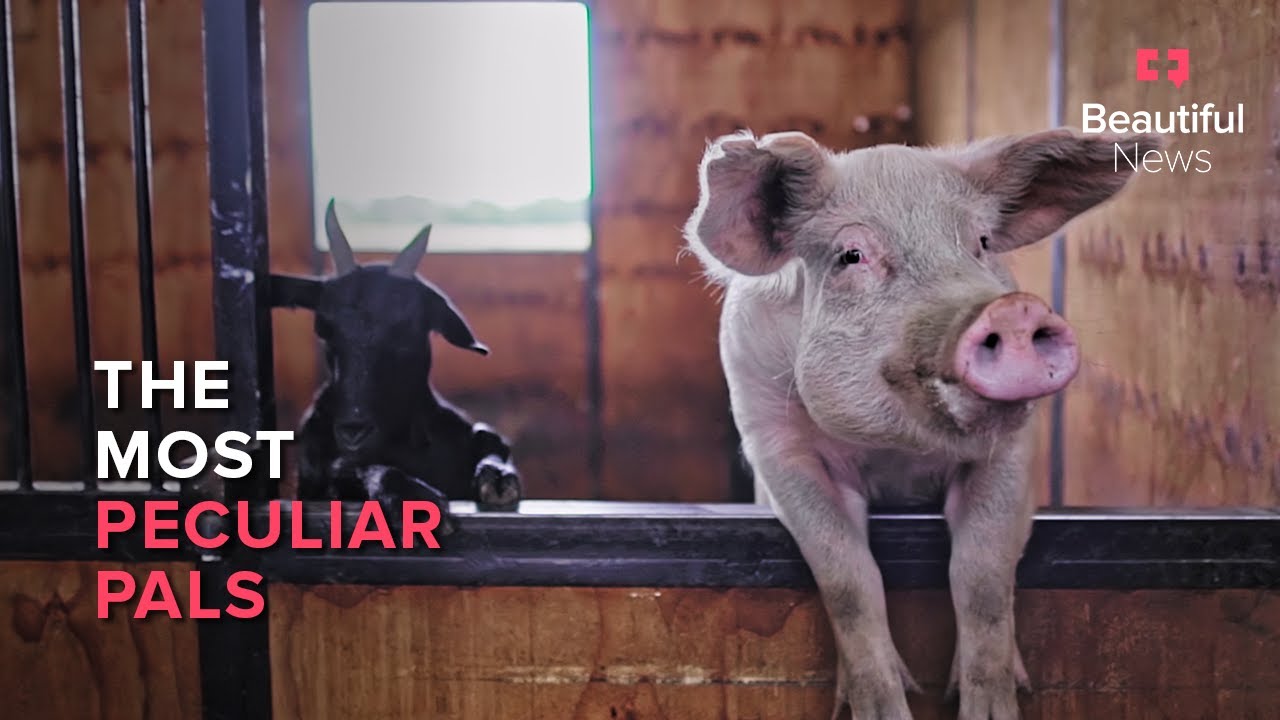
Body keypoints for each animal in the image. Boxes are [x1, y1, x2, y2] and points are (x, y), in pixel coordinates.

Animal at [271, 200, 522, 532]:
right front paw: (411, 500)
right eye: (323, 329)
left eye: (406, 332)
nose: (352, 432)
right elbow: (353, 469)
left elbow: (489, 437)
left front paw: (498, 476)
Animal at [683, 128, 1158, 719]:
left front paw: (993, 707)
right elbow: (847, 575)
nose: (1012, 311)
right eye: (852, 255)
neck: (898, 450)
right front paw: (886, 709)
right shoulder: (772, 439)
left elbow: (982, 572)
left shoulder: (1011, 452)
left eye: (981, 242)